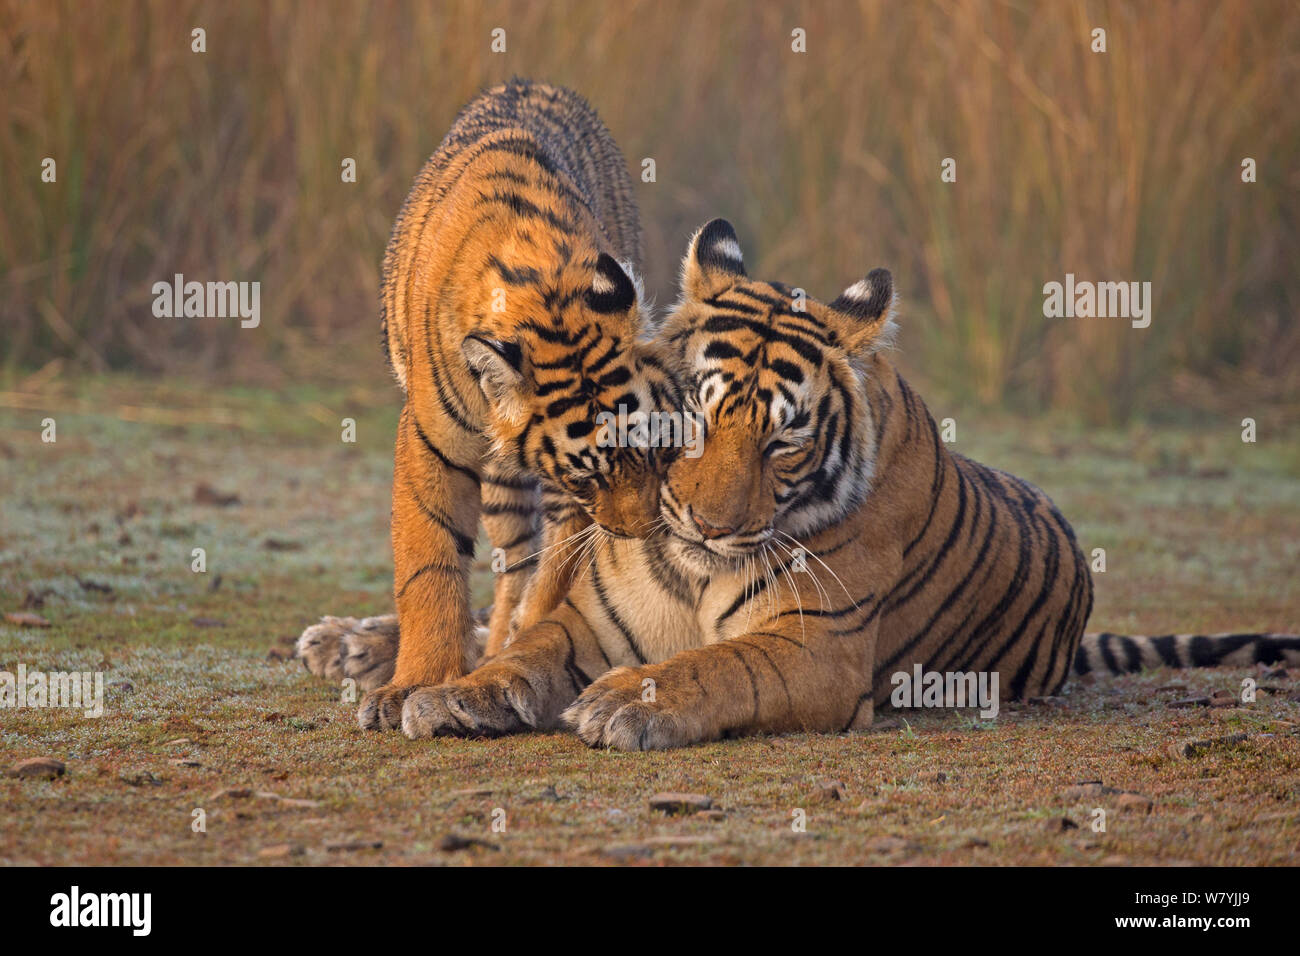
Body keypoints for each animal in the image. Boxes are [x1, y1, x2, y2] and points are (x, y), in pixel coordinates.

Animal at [300, 218, 1300, 748]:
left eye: (782, 444)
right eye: (691, 416)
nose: (706, 526)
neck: (692, 572)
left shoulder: (816, 647)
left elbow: (714, 665)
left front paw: (626, 700)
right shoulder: (587, 619)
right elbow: (523, 650)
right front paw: (456, 694)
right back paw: (350, 645)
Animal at [348, 77, 677, 732]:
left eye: (654, 454)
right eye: (590, 476)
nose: (639, 536)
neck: (543, 287)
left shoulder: (569, 503)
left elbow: (556, 575)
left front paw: (517, 653)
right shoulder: (431, 444)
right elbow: (430, 566)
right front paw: (411, 685)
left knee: (524, 566)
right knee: (512, 556)